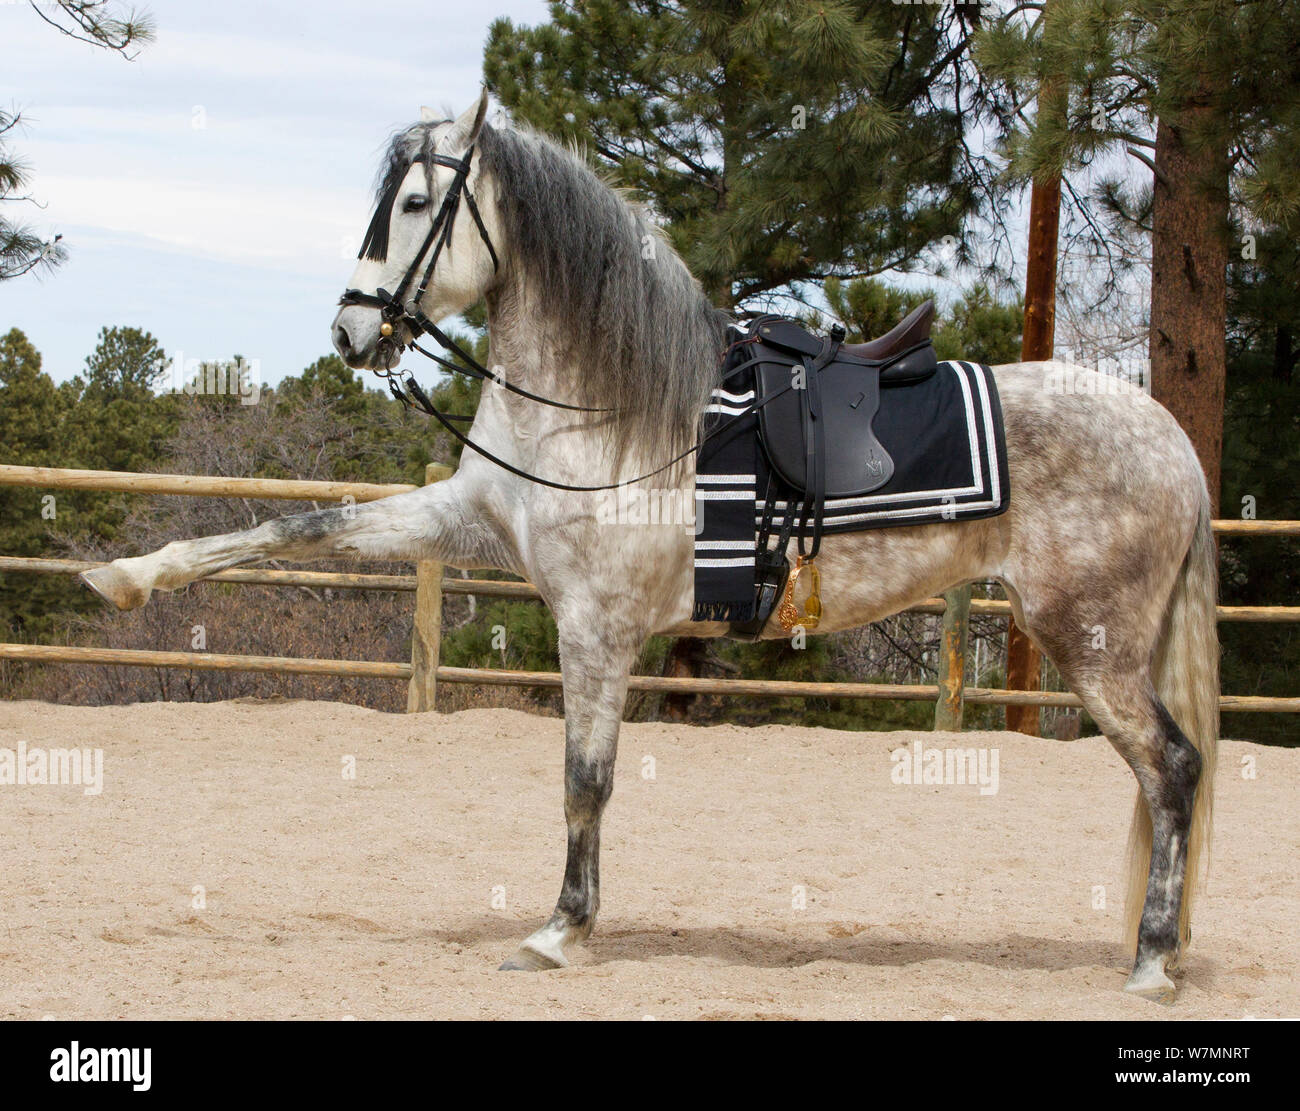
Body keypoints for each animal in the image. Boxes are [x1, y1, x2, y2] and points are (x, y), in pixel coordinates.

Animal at [81, 92, 1219, 1003]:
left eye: (412, 205)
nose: (352, 334)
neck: (605, 408)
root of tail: (1170, 440)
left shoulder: (595, 628)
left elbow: (585, 780)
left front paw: (560, 929)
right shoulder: (463, 518)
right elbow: (293, 525)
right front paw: (127, 577)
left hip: (1092, 644)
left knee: (1174, 769)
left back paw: (1151, 962)